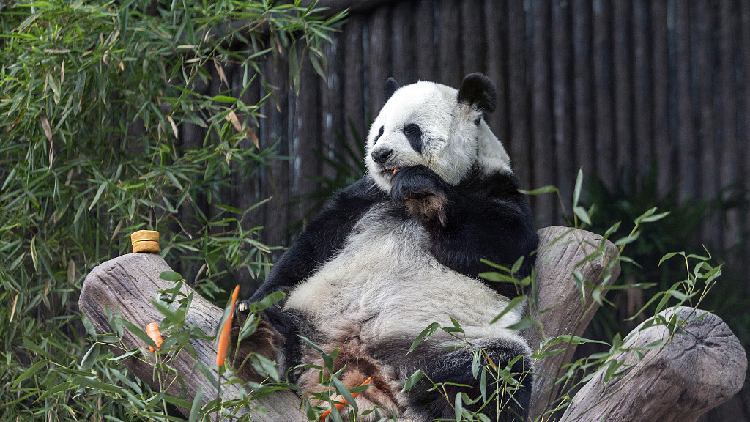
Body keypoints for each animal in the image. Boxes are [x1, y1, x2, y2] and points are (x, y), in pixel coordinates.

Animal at [232, 73, 538, 422]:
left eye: (412, 130)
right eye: (379, 130)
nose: (380, 154)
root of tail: (354, 362)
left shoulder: (496, 188)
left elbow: (507, 256)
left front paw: (424, 190)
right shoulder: (362, 199)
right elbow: (308, 250)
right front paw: (256, 300)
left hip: (448, 339)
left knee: (491, 377)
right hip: (312, 315)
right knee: (284, 324)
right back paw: (256, 334)